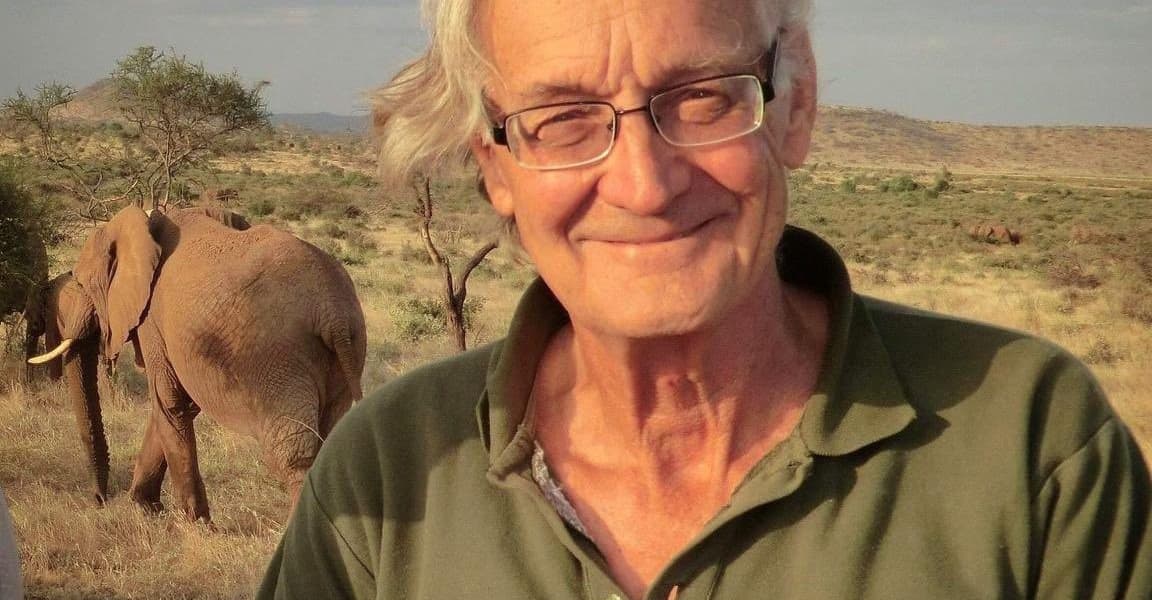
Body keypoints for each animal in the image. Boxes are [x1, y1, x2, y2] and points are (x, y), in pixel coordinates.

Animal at [30, 205, 367, 522]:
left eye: (84, 284)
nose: (99, 500)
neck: (147, 221)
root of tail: (333, 312)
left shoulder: (152, 320)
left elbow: (170, 403)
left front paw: (196, 524)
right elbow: (179, 406)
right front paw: (144, 508)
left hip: (279, 357)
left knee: (292, 454)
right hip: (343, 353)